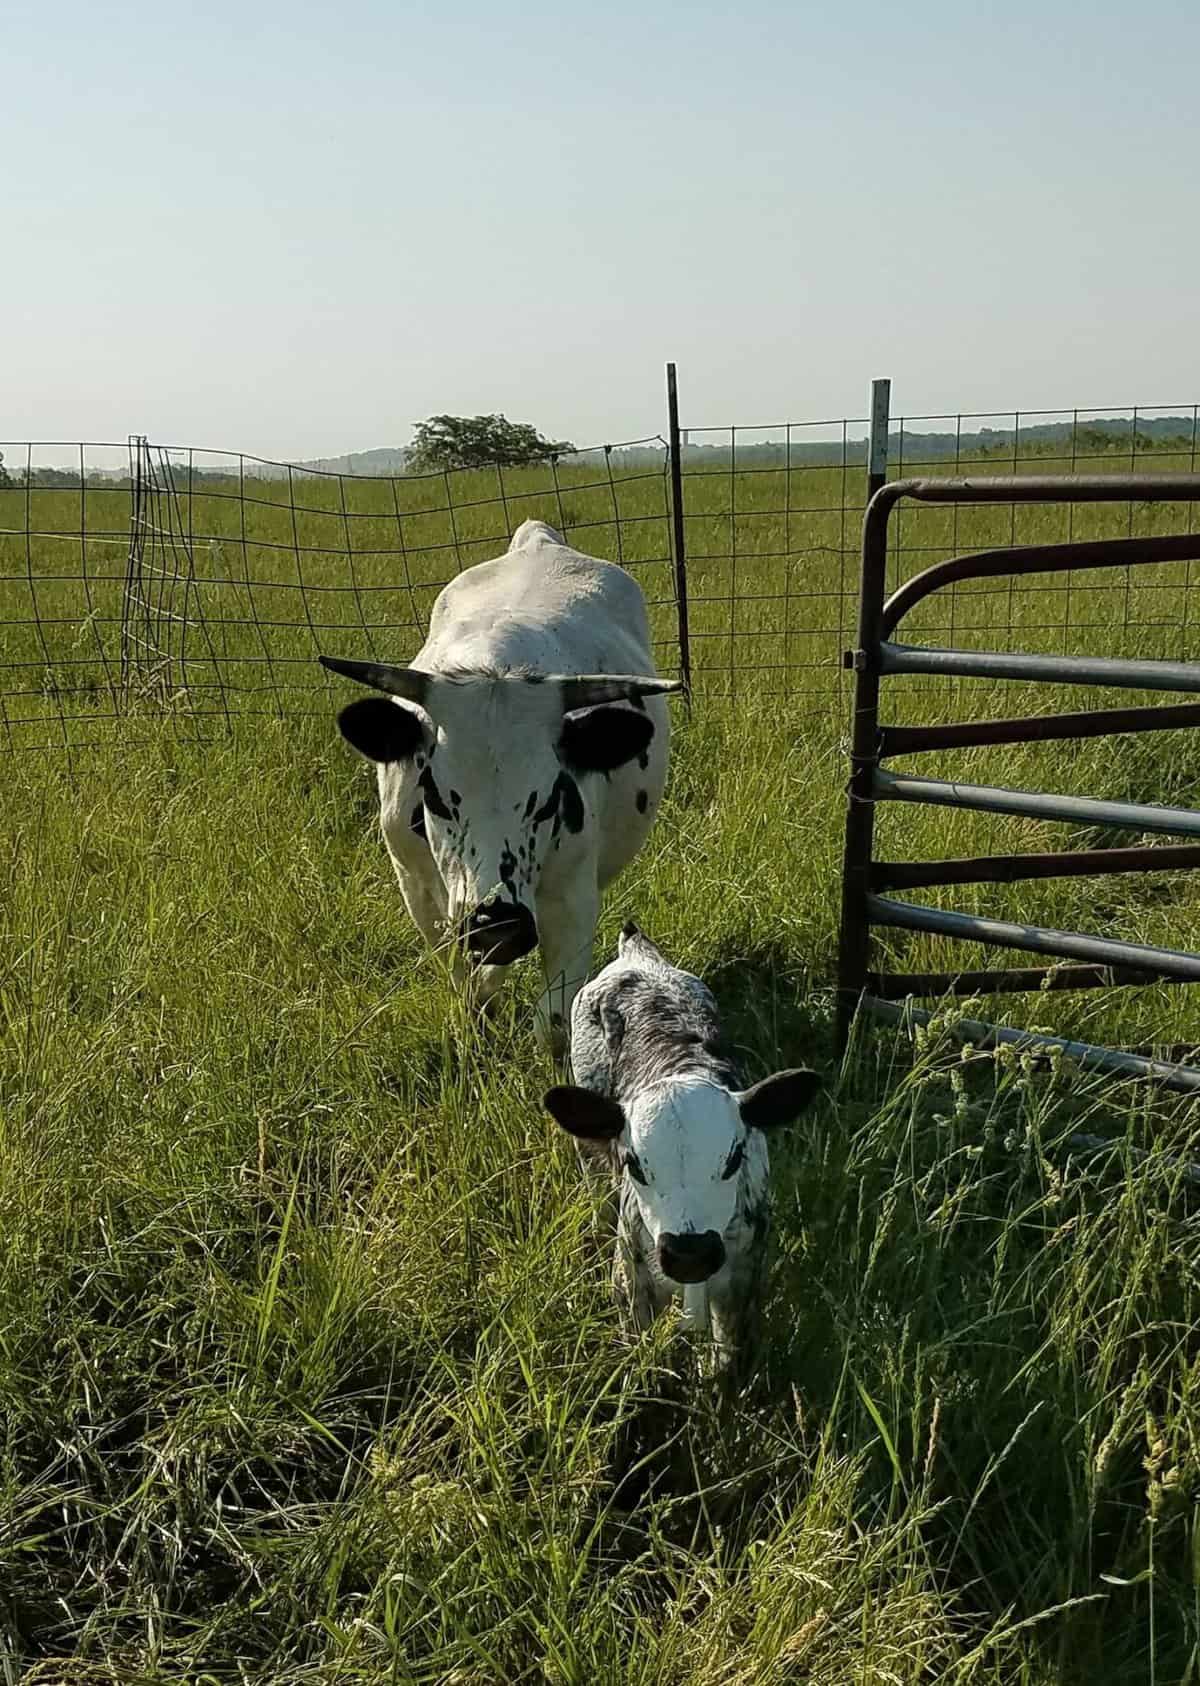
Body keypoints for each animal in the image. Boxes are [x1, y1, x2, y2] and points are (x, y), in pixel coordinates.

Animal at [320, 520, 681, 1051]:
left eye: (548, 800)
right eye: (434, 796)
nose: (498, 924)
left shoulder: (573, 902)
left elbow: (554, 1019)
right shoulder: (418, 890)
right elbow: (469, 989)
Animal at [543, 922, 820, 1374]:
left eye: (734, 1159)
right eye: (635, 1165)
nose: (690, 1254)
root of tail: (637, 956)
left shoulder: (743, 1285)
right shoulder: (631, 1283)